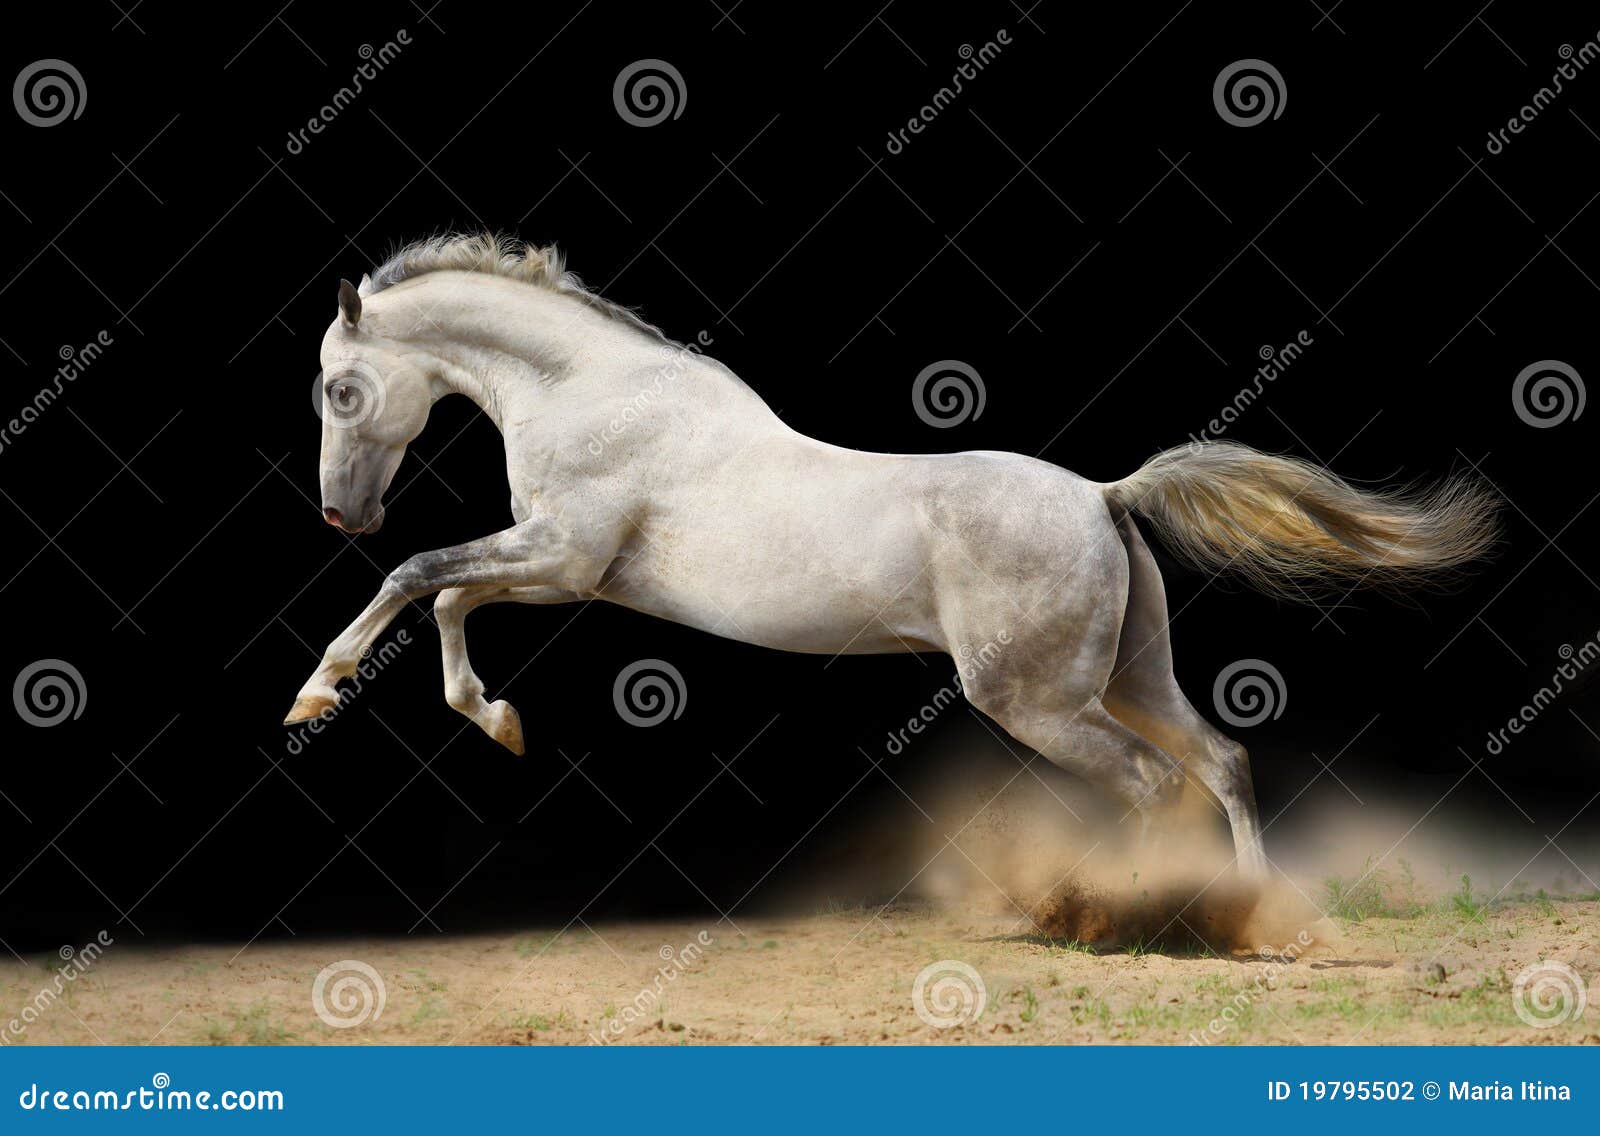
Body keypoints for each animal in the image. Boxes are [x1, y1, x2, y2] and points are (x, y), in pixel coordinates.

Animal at [285, 233, 1497, 880]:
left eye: (341, 389)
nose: (342, 514)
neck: (594, 392)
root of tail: (1103, 497)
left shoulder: (564, 560)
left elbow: (415, 579)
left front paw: (314, 694)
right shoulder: (560, 571)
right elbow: (445, 600)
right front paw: (498, 722)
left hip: (1039, 700)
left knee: (1157, 783)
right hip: (1131, 676)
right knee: (1222, 762)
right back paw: (1249, 906)